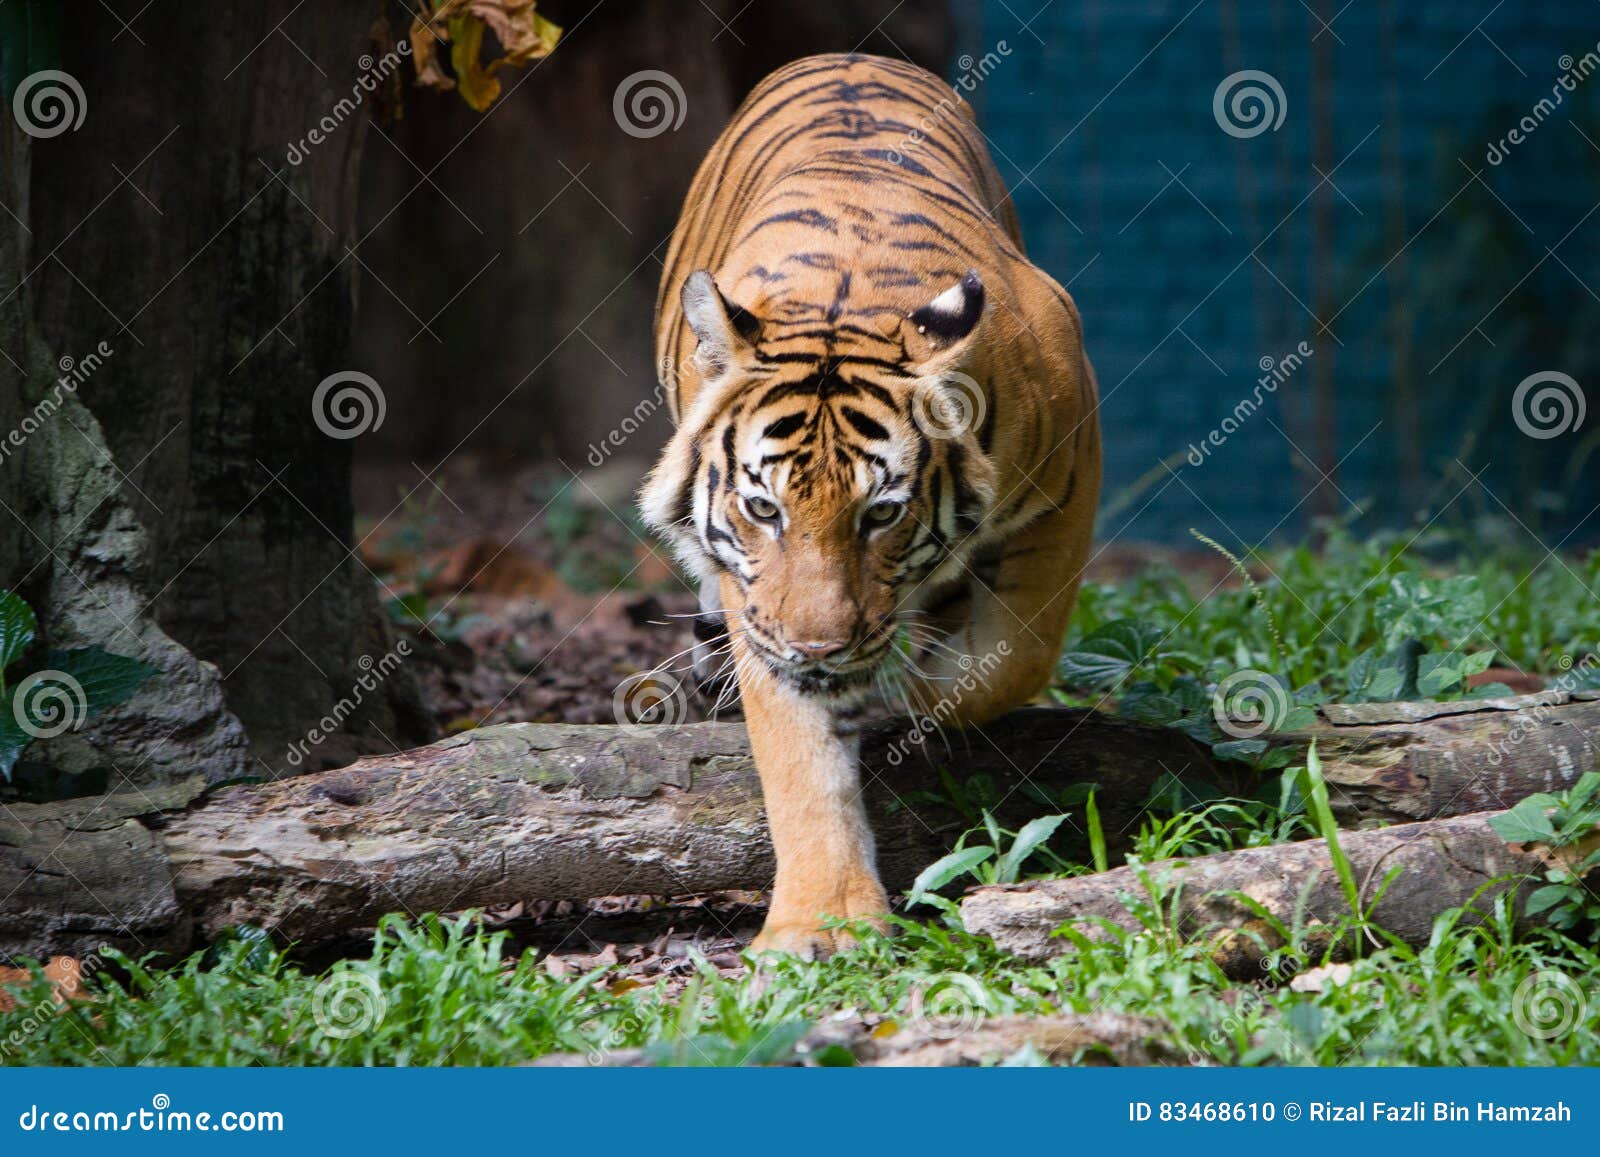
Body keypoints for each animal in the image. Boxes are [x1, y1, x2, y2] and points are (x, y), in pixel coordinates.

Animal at [640, 52, 1102, 958]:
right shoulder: (762, 607)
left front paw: (923, 685)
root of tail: (851, 56)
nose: (820, 648)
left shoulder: (1068, 479)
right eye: (764, 510)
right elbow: (799, 758)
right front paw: (821, 922)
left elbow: (1012, 656)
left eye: (881, 514)